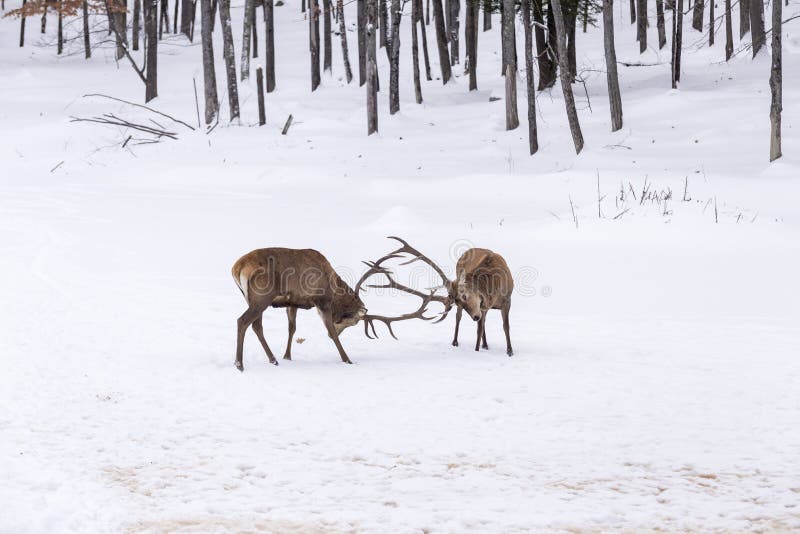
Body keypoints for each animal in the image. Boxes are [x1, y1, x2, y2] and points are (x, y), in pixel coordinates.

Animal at [232, 246, 437, 370]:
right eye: (353, 321)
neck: (334, 286)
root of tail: (237, 268)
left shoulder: (293, 302)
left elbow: (292, 328)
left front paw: (287, 356)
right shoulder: (321, 299)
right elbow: (330, 330)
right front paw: (347, 359)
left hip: (252, 299)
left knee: (256, 326)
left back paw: (272, 359)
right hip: (261, 297)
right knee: (243, 321)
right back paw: (239, 363)